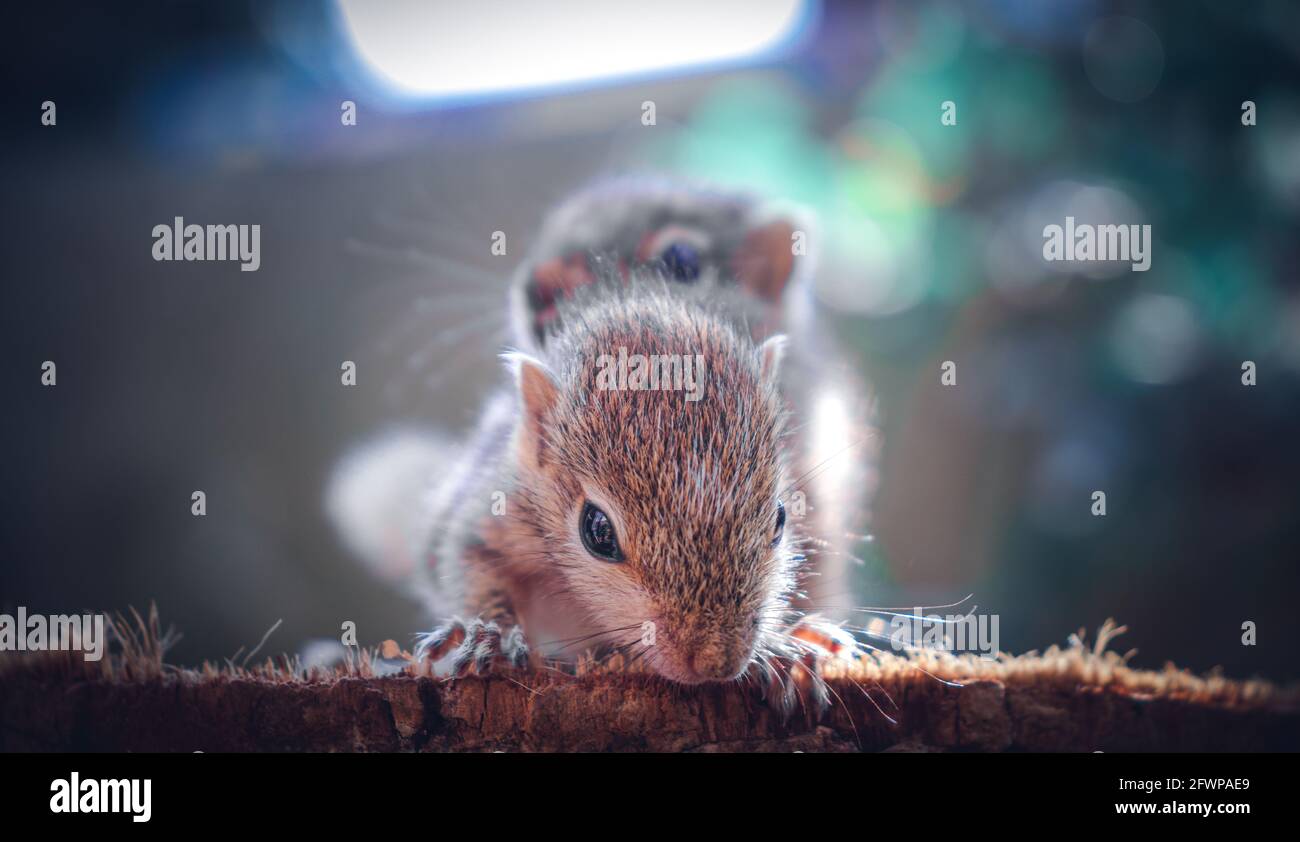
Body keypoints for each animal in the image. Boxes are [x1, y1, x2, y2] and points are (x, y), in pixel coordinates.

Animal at [329, 177, 875, 704]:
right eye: (597, 532)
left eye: (780, 519)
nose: (715, 661)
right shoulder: (490, 510)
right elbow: (463, 564)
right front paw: (485, 635)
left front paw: (781, 649)